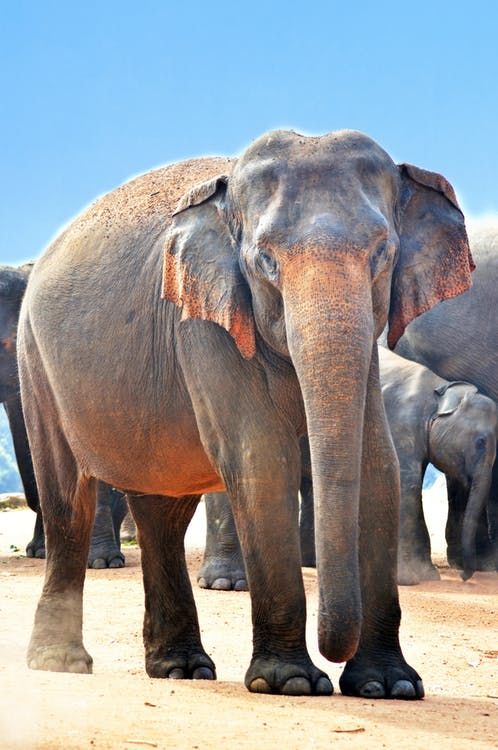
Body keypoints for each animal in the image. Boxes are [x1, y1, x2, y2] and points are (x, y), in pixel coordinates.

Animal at [18, 129, 473, 699]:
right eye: (265, 262)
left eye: (383, 254)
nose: (334, 656)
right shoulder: (202, 322)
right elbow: (262, 461)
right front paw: (293, 683)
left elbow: (378, 468)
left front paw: (388, 687)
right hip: (35, 363)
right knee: (67, 500)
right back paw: (61, 662)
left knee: (163, 512)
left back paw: (181, 669)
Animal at [379, 347, 497, 585]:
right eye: (480, 442)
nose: (463, 577)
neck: (439, 389)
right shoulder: (402, 425)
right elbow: (407, 482)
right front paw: (416, 579)